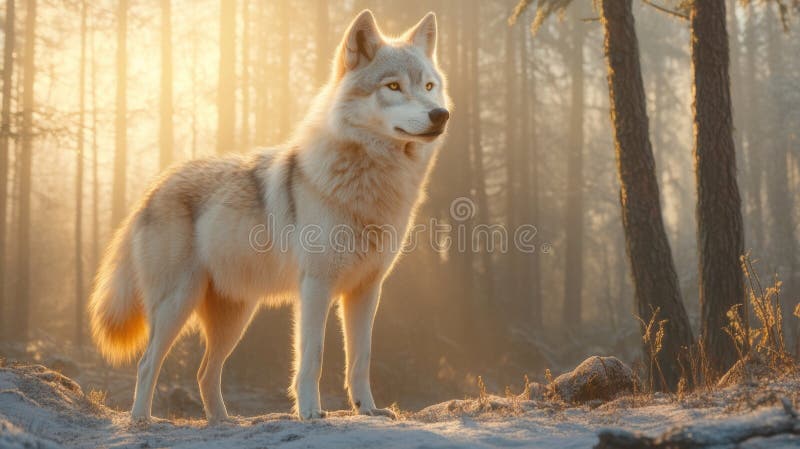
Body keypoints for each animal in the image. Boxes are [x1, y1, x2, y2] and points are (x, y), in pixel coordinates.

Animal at [88, 10, 450, 423]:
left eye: (428, 86)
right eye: (393, 86)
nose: (441, 114)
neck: (369, 183)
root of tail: (152, 188)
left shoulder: (366, 290)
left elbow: (360, 359)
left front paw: (368, 410)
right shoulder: (315, 286)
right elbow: (313, 357)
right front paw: (310, 412)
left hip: (235, 318)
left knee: (204, 372)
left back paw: (221, 421)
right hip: (177, 305)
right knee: (148, 363)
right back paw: (142, 419)